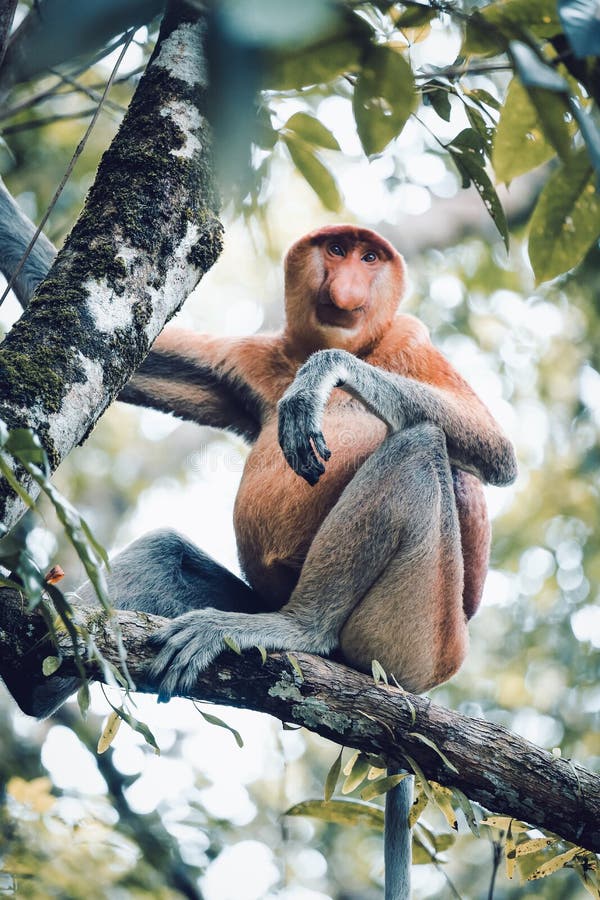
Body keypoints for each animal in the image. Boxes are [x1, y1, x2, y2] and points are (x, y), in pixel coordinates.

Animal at [0, 222, 517, 900]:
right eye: (336, 250)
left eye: (369, 257)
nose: (347, 287)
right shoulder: (253, 358)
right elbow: (134, 354)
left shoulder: (408, 337)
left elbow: (494, 450)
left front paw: (320, 379)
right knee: (163, 556)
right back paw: (33, 680)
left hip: (416, 636)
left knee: (422, 443)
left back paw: (297, 629)